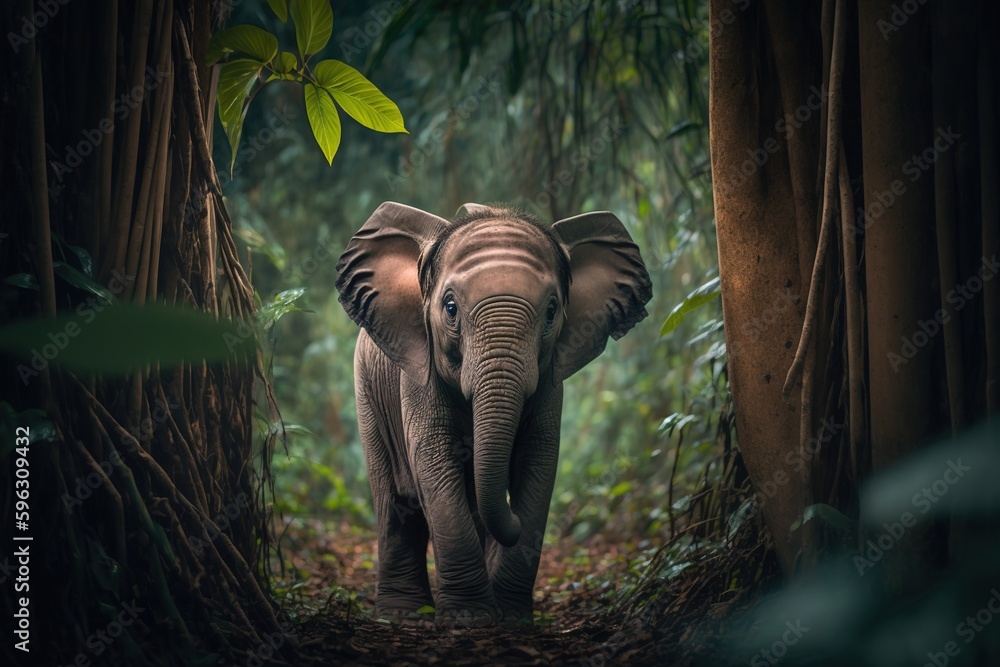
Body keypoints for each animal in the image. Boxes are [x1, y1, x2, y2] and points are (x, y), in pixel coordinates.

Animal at [335, 201, 651, 628]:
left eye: (552, 311)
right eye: (450, 308)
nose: (511, 522)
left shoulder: (549, 380)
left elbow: (538, 465)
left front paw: (512, 618)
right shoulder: (418, 373)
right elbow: (433, 460)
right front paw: (469, 619)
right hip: (366, 390)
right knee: (394, 504)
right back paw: (403, 615)